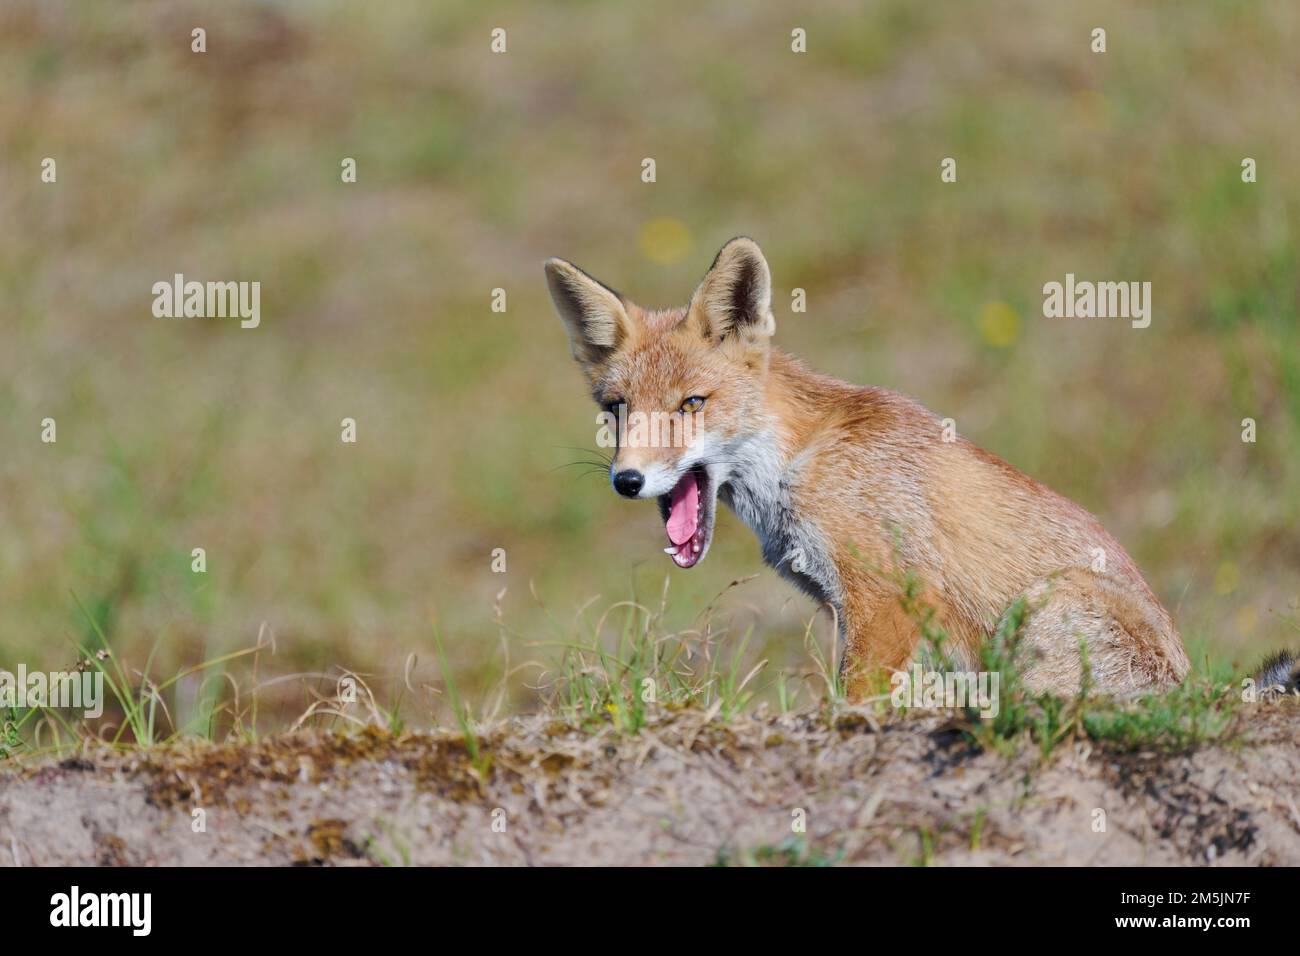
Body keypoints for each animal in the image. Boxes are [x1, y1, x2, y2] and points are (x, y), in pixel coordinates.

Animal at [545, 236, 1291, 699]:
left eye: (691, 404)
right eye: (616, 410)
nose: (628, 482)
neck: (801, 461)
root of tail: (1191, 687)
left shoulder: (888, 601)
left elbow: (850, 704)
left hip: (1043, 606)